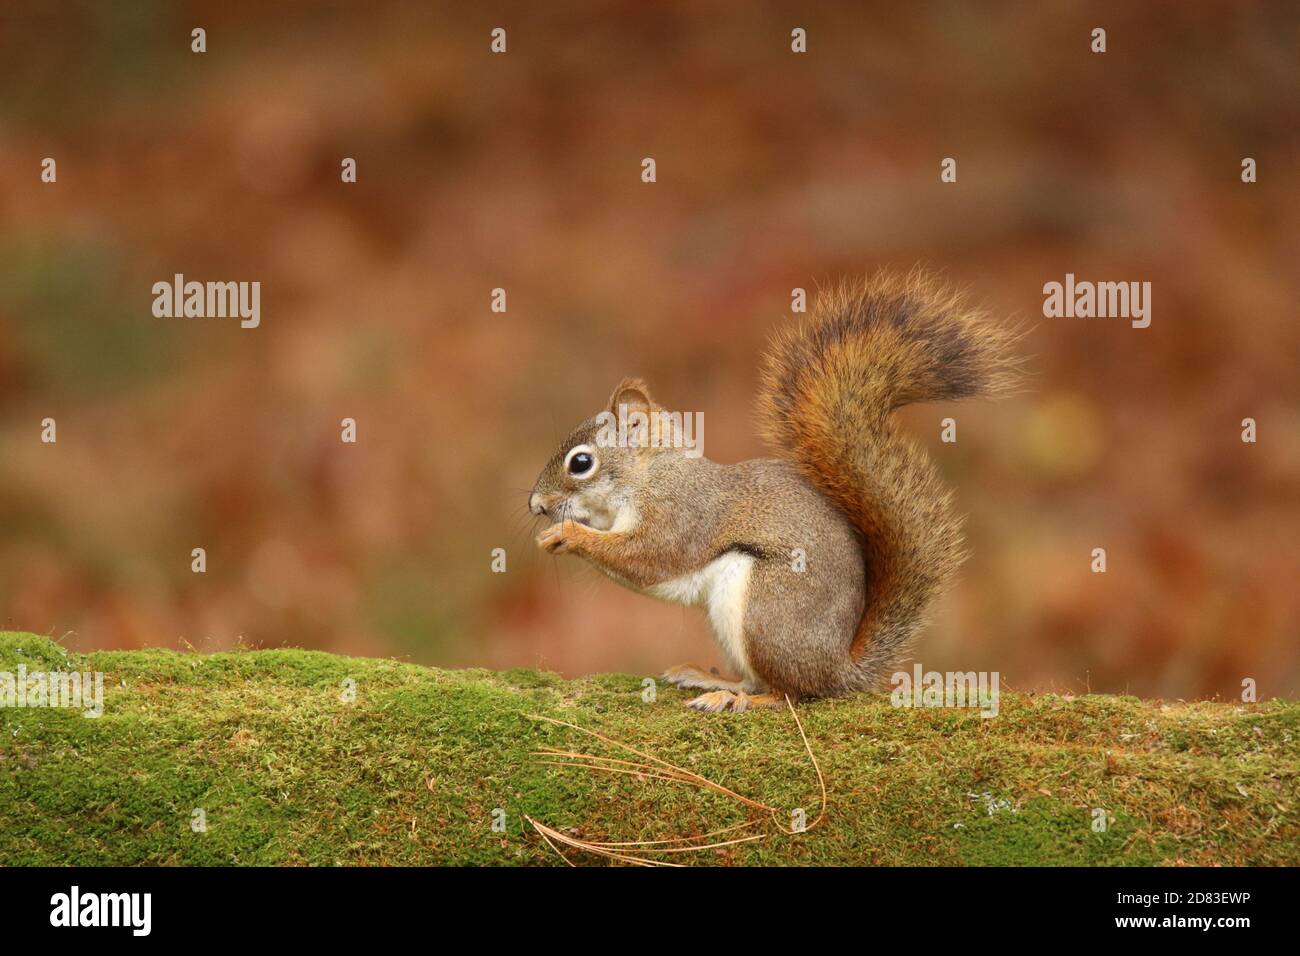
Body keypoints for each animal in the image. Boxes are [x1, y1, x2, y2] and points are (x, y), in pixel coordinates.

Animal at [529, 269, 1020, 712]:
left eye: (581, 463)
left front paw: (567, 535)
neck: (651, 473)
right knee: (759, 679)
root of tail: (838, 668)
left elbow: (648, 556)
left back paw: (737, 699)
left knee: (791, 693)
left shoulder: (681, 514)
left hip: (765, 606)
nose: (535, 505)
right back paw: (711, 679)